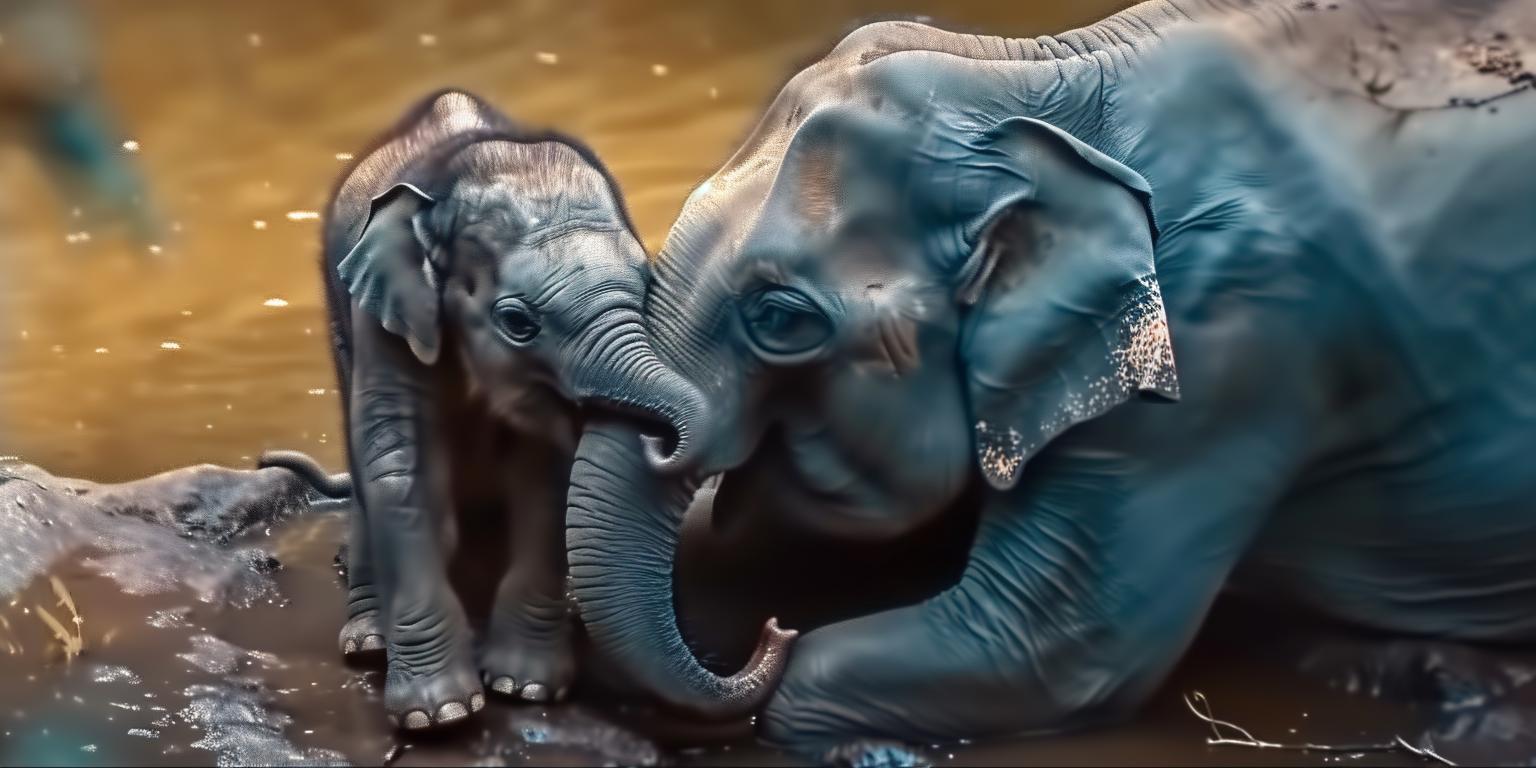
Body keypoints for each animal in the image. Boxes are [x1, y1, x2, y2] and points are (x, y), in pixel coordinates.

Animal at [304, 88, 705, 730]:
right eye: (517, 322)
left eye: (648, 288)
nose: (662, 440)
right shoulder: (382, 316)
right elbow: (399, 463)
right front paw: (439, 716)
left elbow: (544, 475)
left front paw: (524, 689)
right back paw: (366, 641)